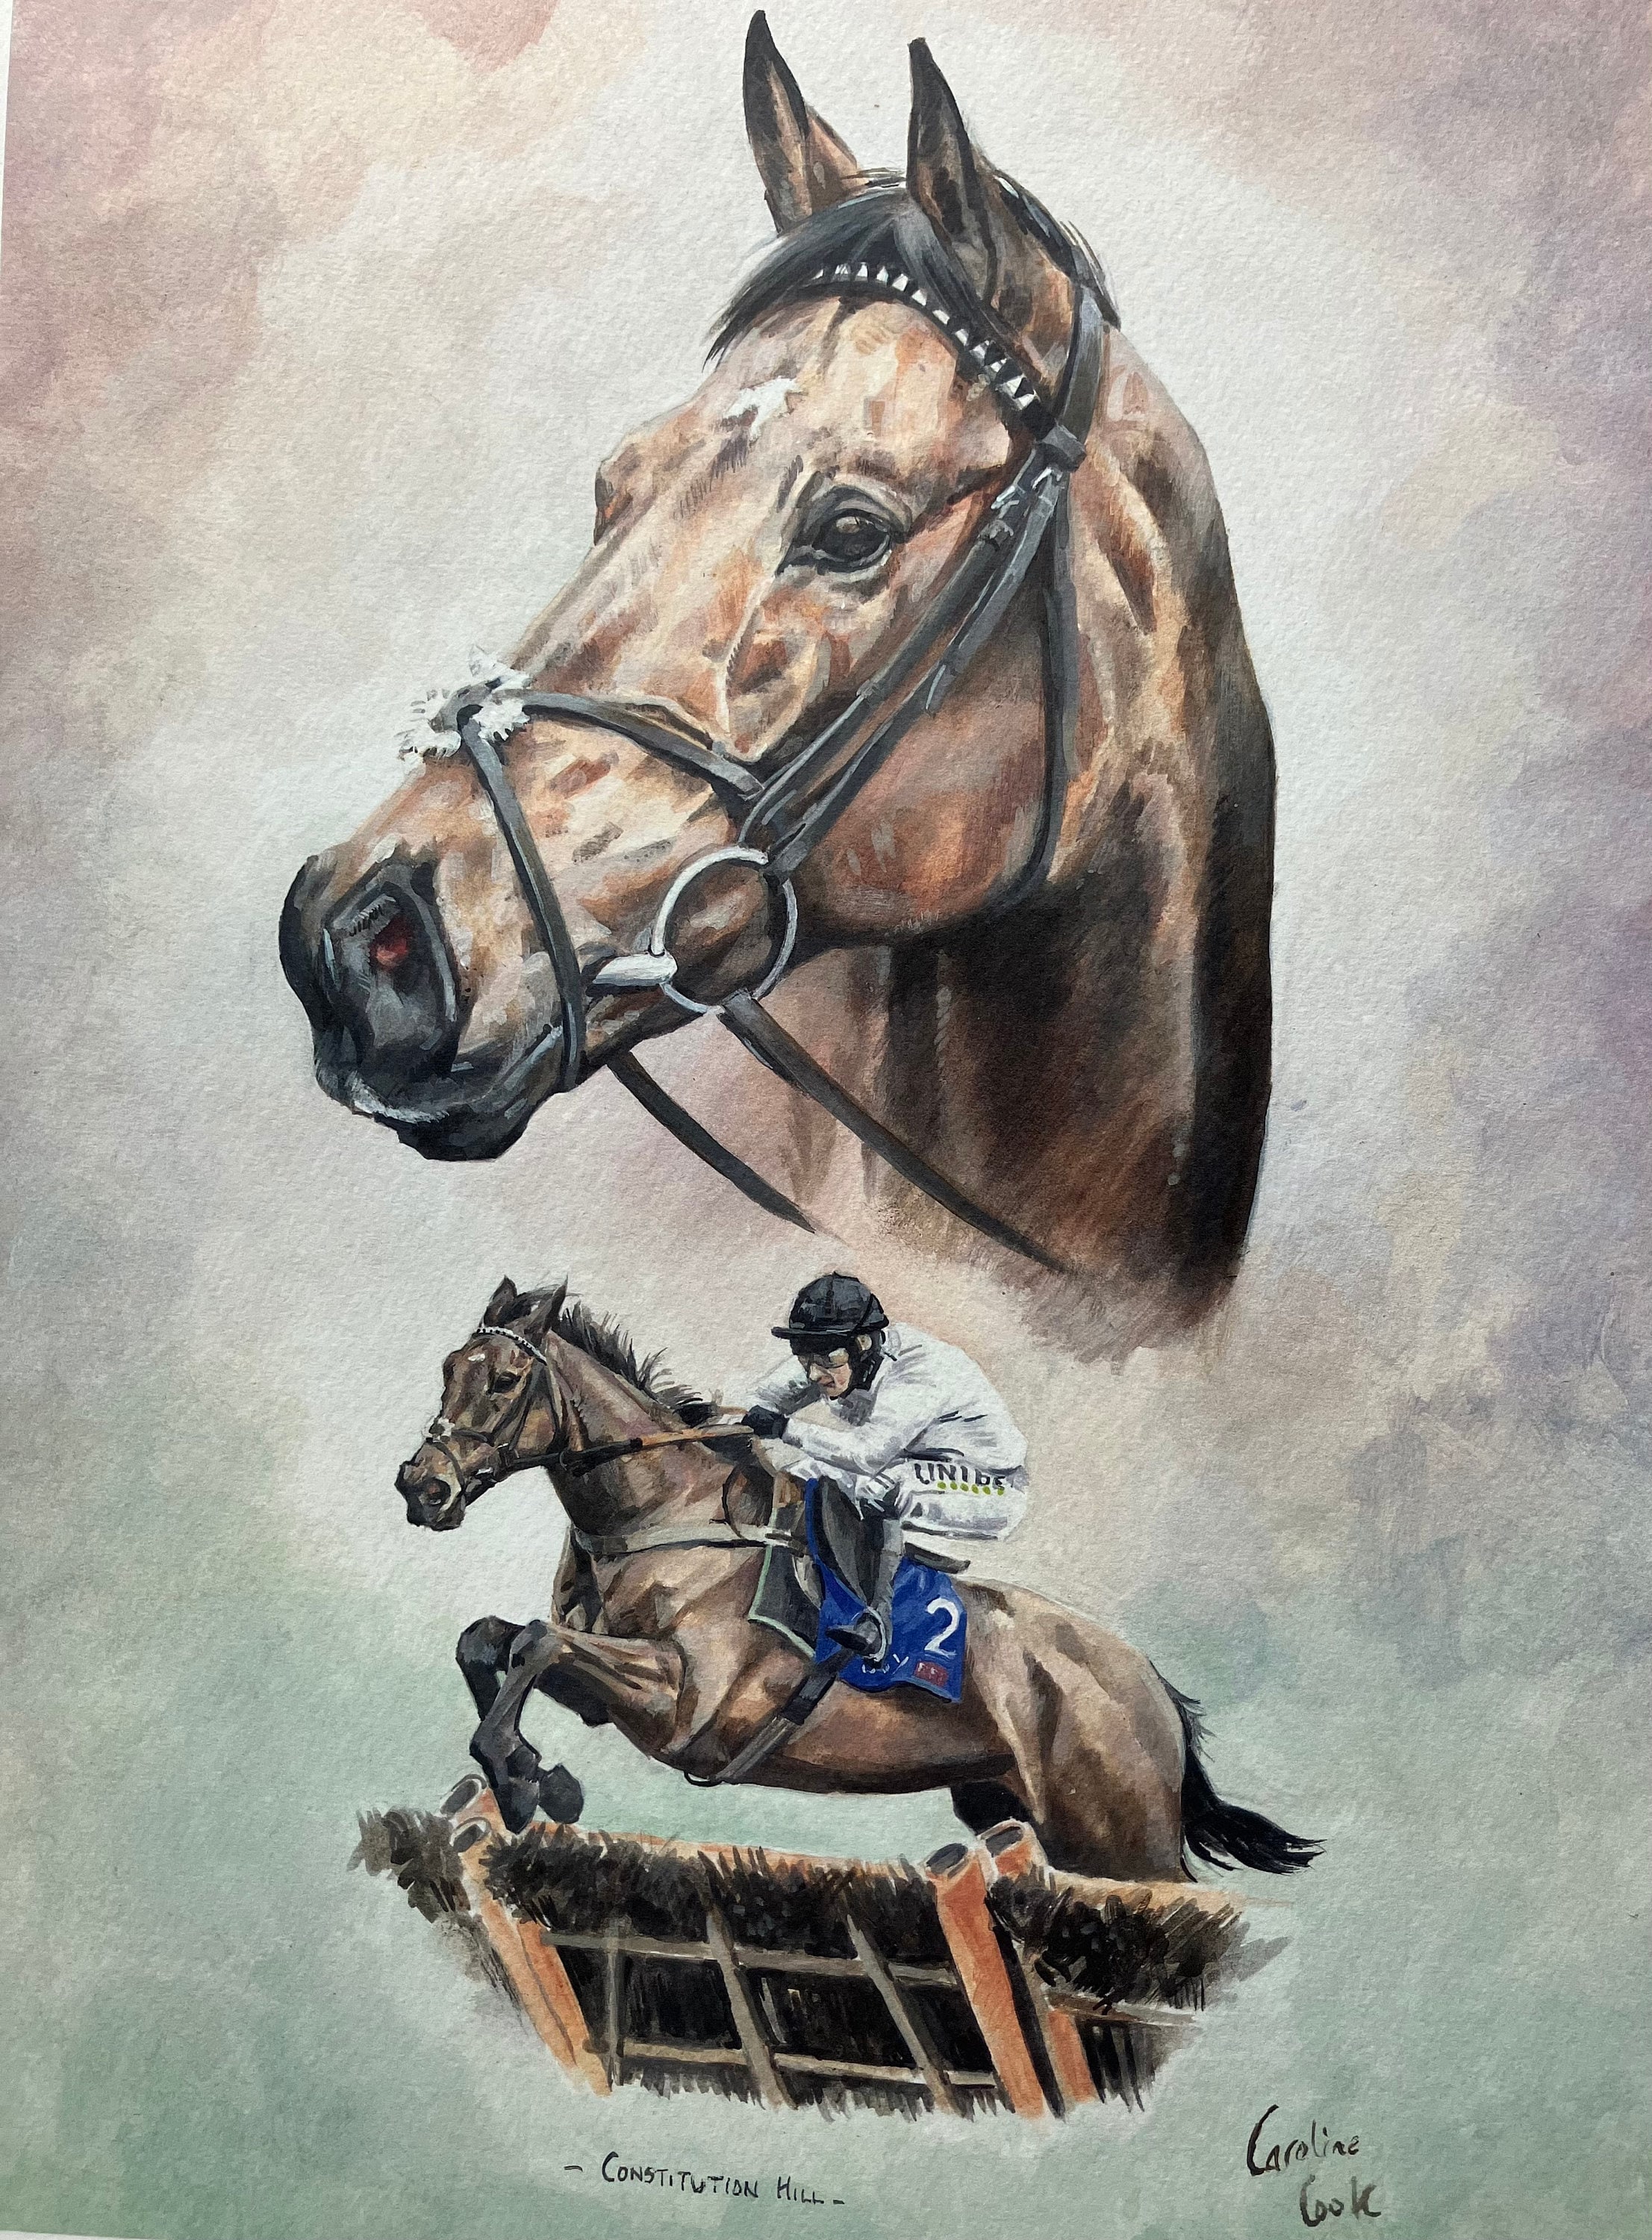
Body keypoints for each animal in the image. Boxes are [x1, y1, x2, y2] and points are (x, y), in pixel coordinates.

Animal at [395, 1278, 1317, 1883]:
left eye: (504, 1381)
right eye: (446, 1370)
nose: (421, 1487)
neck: (660, 1514)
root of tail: (1151, 1684)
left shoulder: (685, 1703)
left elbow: (537, 1643)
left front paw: (527, 1778)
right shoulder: (606, 1680)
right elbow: (491, 1640)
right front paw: (527, 1773)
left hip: (1121, 1835)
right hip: (1017, 1809)